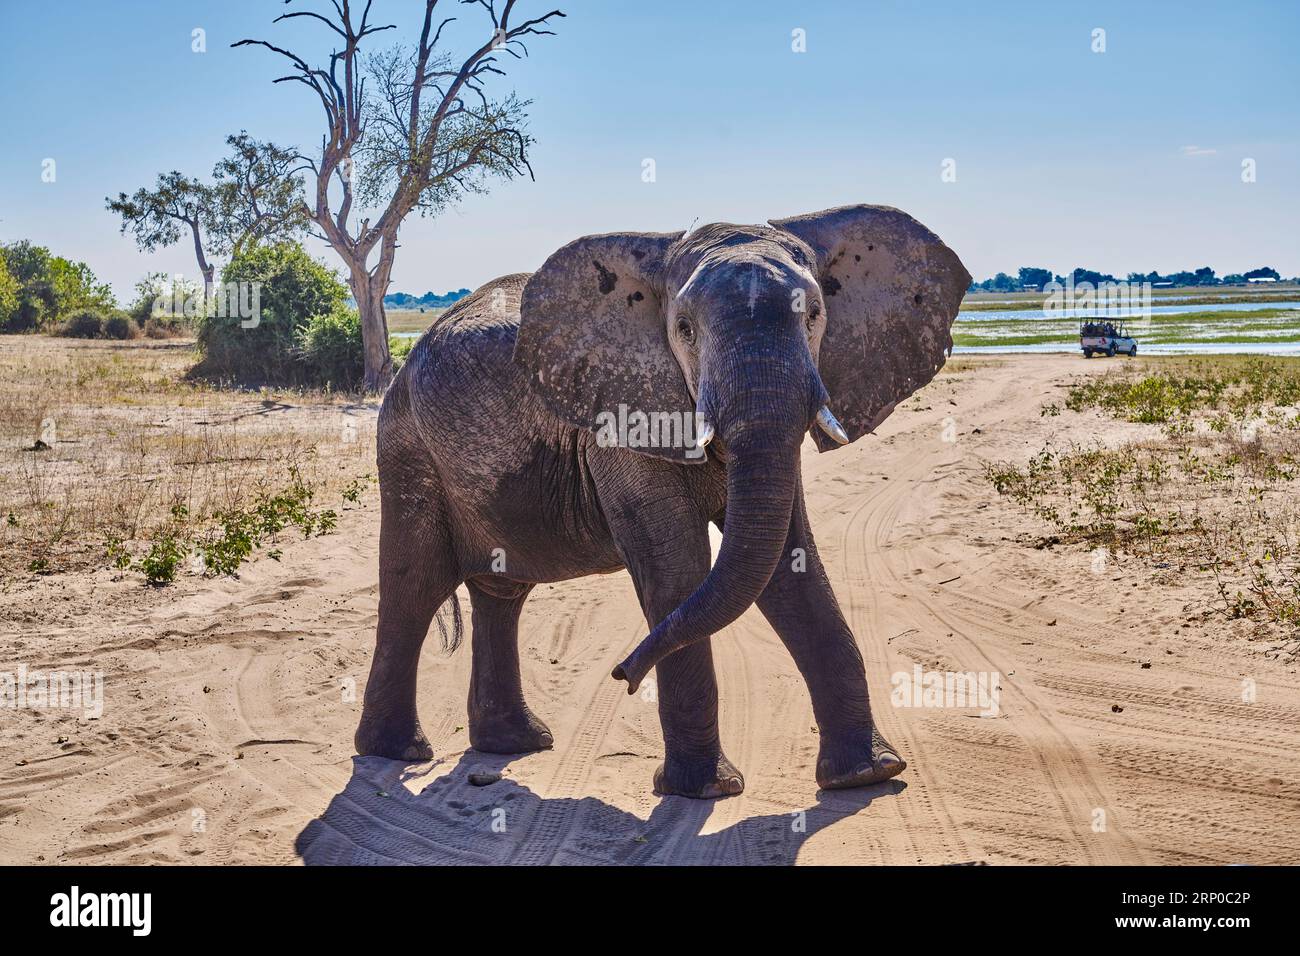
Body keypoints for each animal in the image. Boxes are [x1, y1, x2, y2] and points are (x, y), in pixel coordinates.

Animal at [354, 204, 970, 799]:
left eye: (815, 314)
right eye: (684, 329)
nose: (622, 673)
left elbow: (789, 566)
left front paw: (867, 776)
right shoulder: (620, 413)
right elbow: (676, 568)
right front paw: (705, 791)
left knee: (501, 595)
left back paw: (515, 743)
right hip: (408, 448)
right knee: (414, 585)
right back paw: (398, 752)